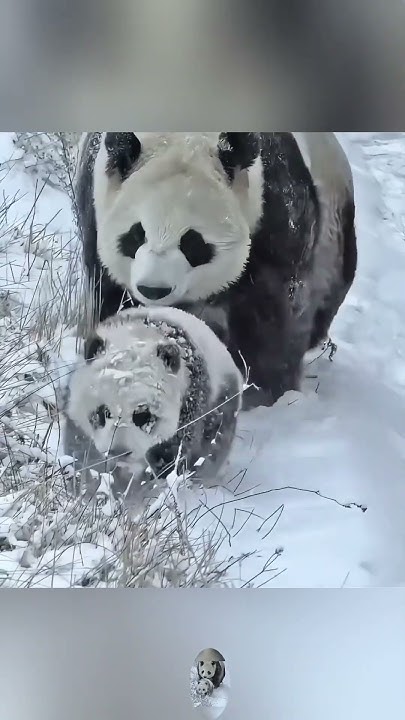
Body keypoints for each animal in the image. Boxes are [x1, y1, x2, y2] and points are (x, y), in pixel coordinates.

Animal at [61, 306, 243, 503]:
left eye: (142, 415)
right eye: (103, 412)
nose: (119, 452)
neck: (138, 339)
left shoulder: (190, 406)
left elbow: (170, 461)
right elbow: (82, 453)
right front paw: (90, 489)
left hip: (222, 401)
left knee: (213, 446)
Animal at [75, 132, 357, 410]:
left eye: (192, 242)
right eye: (136, 234)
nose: (154, 290)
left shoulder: (274, 217)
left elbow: (272, 315)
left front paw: (266, 393)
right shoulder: (95, 217)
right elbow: (114, 303)